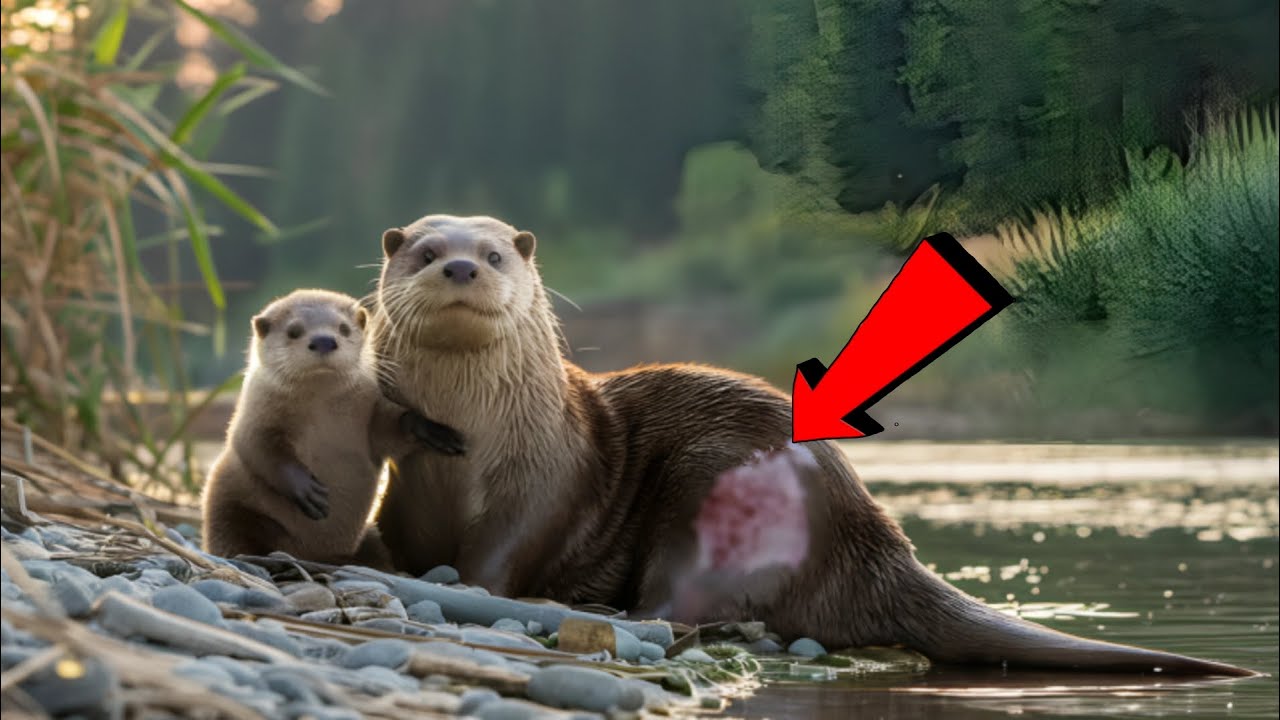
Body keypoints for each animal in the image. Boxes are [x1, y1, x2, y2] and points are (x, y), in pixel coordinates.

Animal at [202, 289, 463, 566]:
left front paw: (432, 430)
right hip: (232, 510)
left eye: (344, 328)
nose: (324, 341)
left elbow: (392, 429)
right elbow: (257, 449)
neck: (322, 418)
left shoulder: (371, 417)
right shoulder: (256, 418)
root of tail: (314, 555)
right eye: (293, 331)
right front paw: (306, 489)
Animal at [369, 215, 1253, 677]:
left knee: (693, 601)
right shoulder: (401, 482)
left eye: (491, 253)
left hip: (717, 484)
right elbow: (390, 533)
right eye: (423, 251)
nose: (459, 266)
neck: (471, 442)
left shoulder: (543, 477)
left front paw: (475, 587)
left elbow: (504, 551)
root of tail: (875, 541)